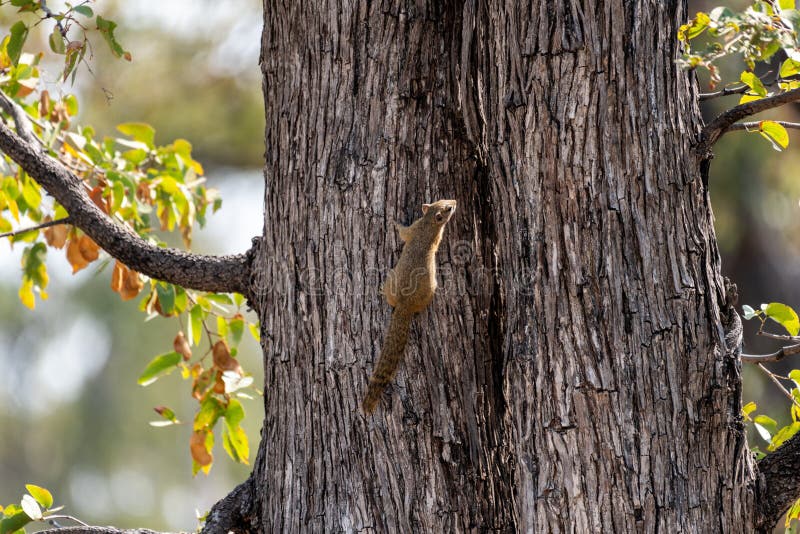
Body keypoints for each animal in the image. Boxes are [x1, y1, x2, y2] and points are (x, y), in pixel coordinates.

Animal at [362, 199, 457, 413]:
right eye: (445, 204)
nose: (455, 202)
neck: (429, 223)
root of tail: (405, 305)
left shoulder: (416, 230)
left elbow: (404, 234)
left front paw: (395, 223)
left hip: (393, 280)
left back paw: (381, 291)